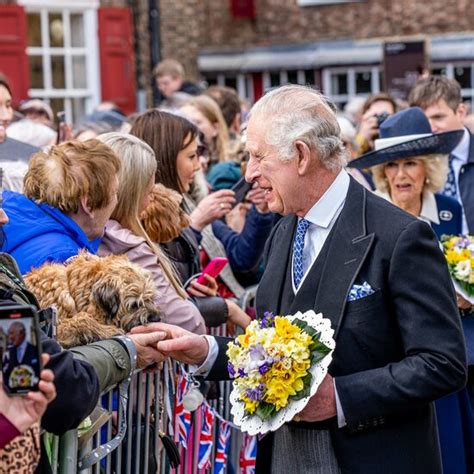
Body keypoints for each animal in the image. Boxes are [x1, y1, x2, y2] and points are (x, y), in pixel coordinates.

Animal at [24, 252, 161, 348]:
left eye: (151, 298)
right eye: (134, 305)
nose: (157, 318)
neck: (72, 290)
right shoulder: (57, 328)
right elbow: (82, 319)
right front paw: (109, 331)